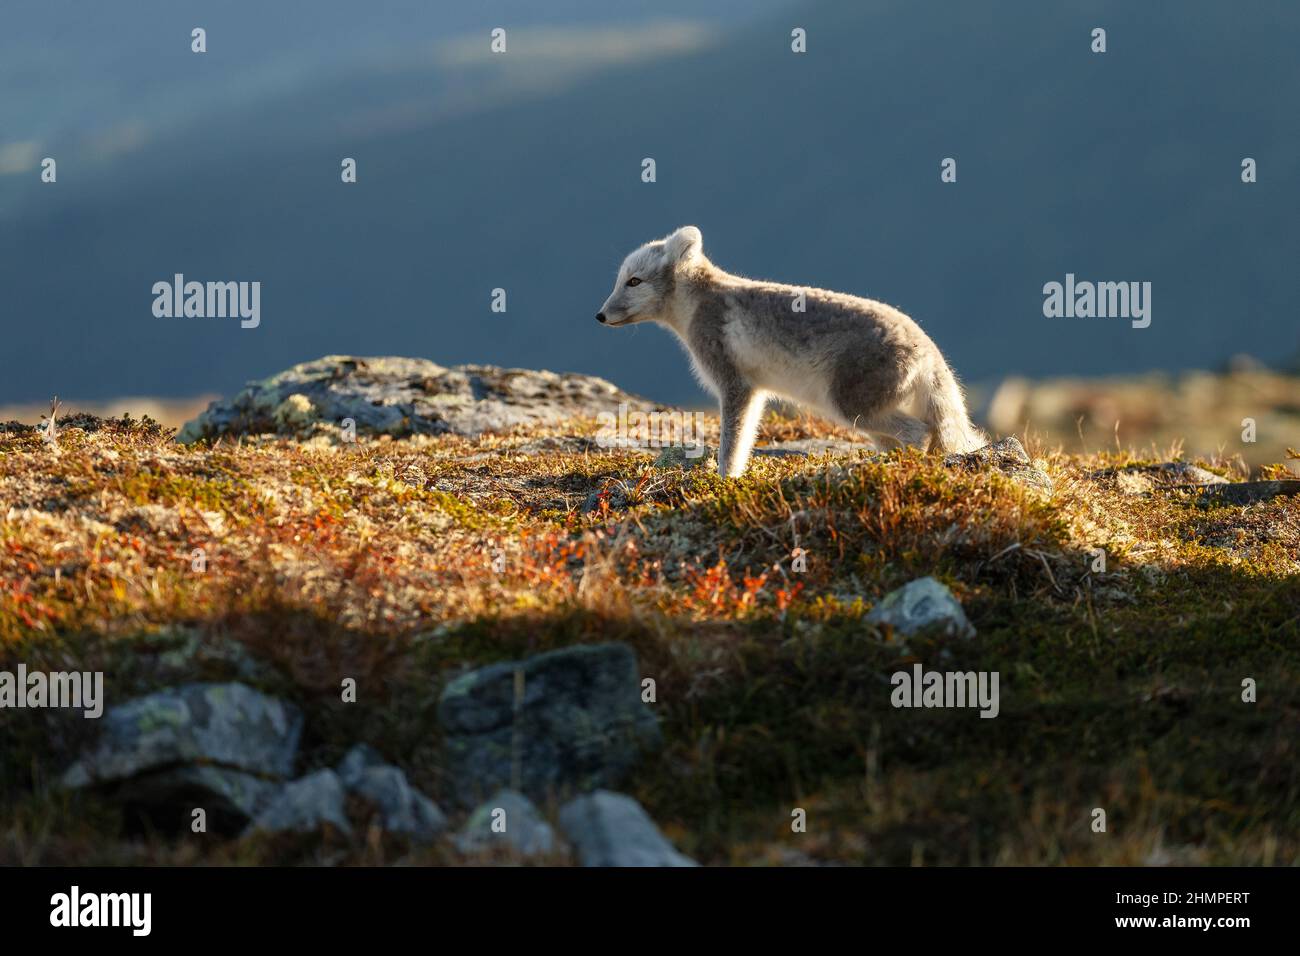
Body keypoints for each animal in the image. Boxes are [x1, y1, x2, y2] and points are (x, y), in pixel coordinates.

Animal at [596, 225, 987, 477]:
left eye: (634, 281)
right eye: (619, 280)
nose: (599, 316)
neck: (698, 302)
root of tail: (931, 352)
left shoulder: (734, 385)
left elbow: (730, 446)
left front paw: (724, 482)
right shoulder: (756, 392)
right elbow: (746, 440)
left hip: (851, 407)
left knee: (919, 432)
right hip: (869, 419)